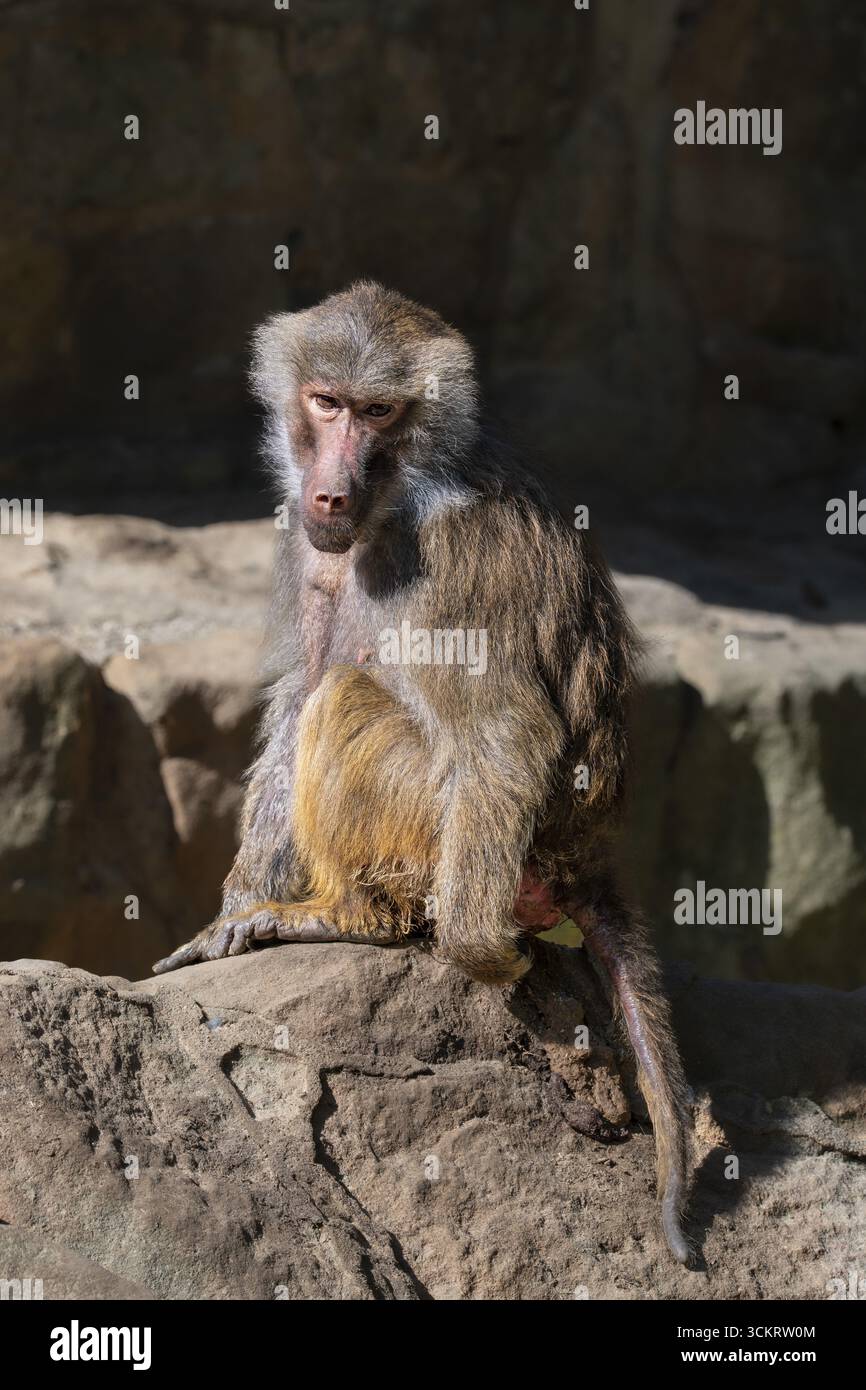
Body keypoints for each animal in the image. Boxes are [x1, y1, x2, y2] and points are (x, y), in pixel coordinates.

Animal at [153, 281, 692, 1264]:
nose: (332, 486)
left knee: (355, 705)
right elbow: (295, 691)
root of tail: (581, 853)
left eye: (380, 413)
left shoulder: (449, 552)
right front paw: (231, 909)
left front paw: (478, 951)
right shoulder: (307, 542)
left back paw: (355, 917)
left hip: (453, 834)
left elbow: (508, 729)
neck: (395, 499)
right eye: (327, 402)